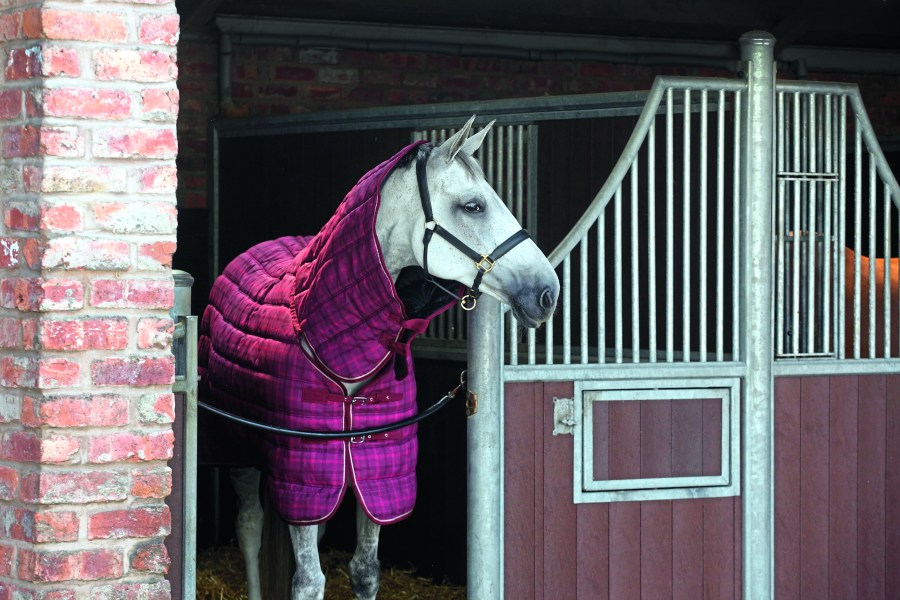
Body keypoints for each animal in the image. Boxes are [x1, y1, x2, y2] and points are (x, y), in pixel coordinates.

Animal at [198, 116, 559, 600]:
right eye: (473, 206)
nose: (547, 292)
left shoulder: (373, 478)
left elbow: (365, 570)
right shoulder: (303, 473)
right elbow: (308, 581)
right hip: (242, 456)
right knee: (249, 527)